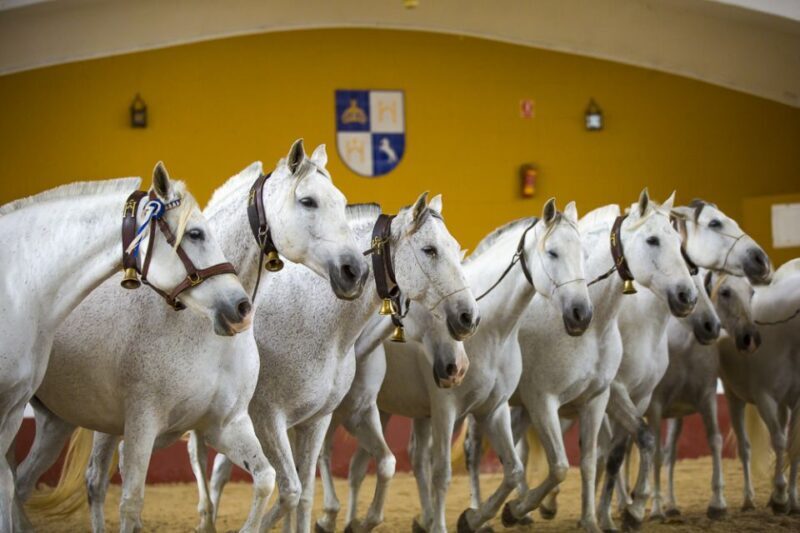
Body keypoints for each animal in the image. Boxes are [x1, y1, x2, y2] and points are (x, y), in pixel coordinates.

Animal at [197, 193, 480, 533]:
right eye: (430, 250)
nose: (468, 318)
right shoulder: (269, 419)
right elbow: (289, 490)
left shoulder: (327, 418)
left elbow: (320, 486)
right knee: (203, 462)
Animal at [347, 199, 591, 533]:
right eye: (553, 252)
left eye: (583, 254)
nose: (582, 313)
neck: (494, 332)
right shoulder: (445, 410)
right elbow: (442, 474)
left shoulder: (494, 409)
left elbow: (514, 470)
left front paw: (479, 517)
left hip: (387, 409)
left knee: (376, 463)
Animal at [645, 269, 759, 521]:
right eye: (725, 292)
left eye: (752, 292)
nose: (749, 337)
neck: (683, 346)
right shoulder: (655, 405)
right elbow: (655, 453)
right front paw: (656, 509)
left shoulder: (707, 398)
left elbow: (714, 440)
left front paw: (718, 503)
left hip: (676, 417)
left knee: (670, 452)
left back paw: (672, 505)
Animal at [718, 260, 800, 515]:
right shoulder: (765, 399)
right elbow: (780, 442)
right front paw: (781, 497)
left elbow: (794, 446)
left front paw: (792, 499)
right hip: (734, 396)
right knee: (746, 448)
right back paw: (749, 500)